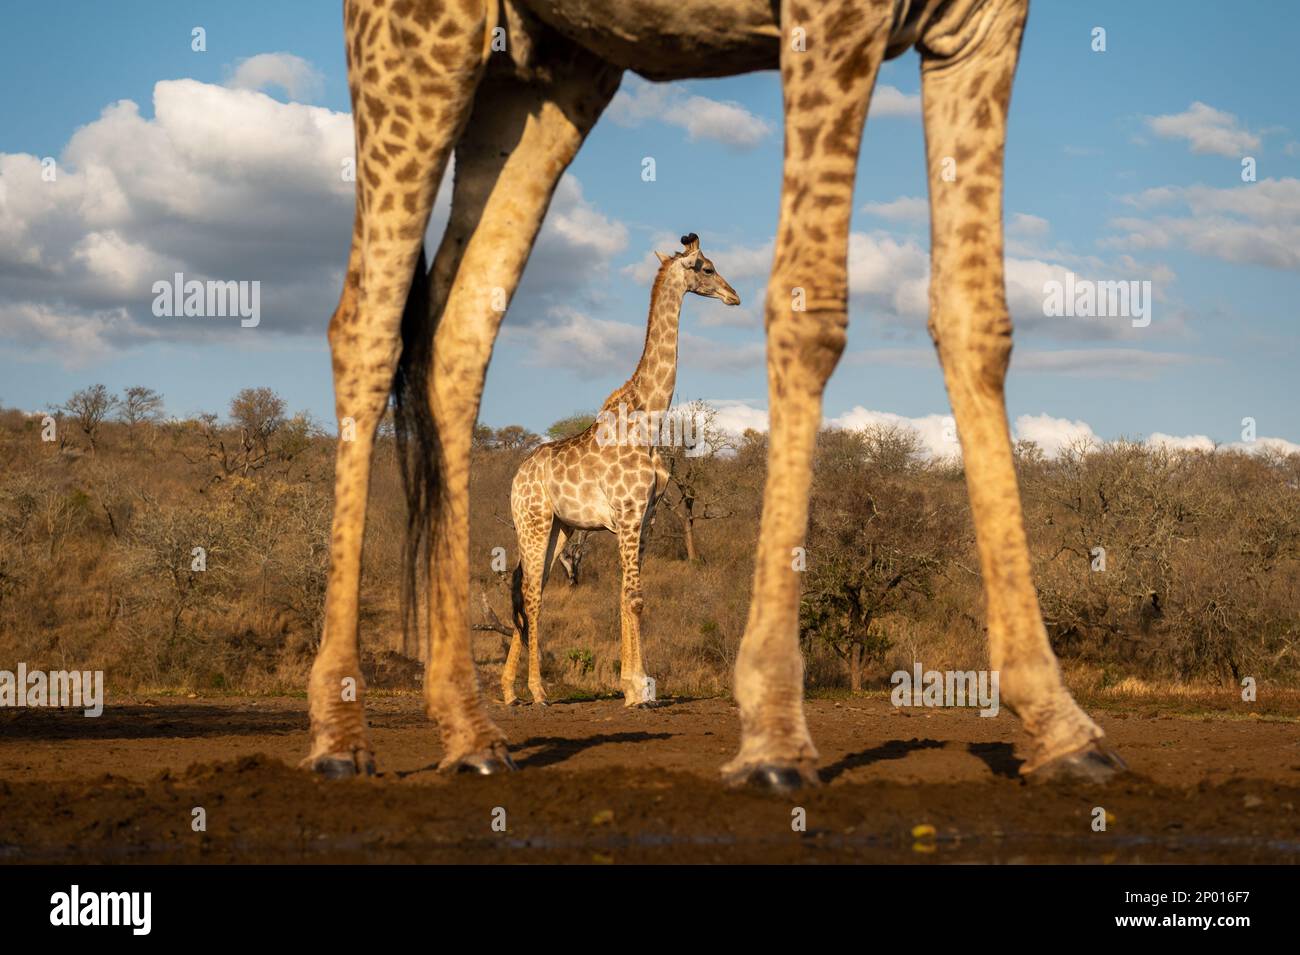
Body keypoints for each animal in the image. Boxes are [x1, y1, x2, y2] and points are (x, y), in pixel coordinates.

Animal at [501, 233, 740, 707]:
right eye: (706, 268)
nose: (734, 296)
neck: (650, 420)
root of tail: (517, 479)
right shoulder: (627, 515)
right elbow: (634, 598)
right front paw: (638, 691)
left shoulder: (645, 518)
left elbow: (626, 595)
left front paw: (635, 683)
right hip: (534, 523)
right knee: (532, 594)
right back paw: (537, 690)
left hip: (559, 529)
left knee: (528, 587)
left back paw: (509, 691)